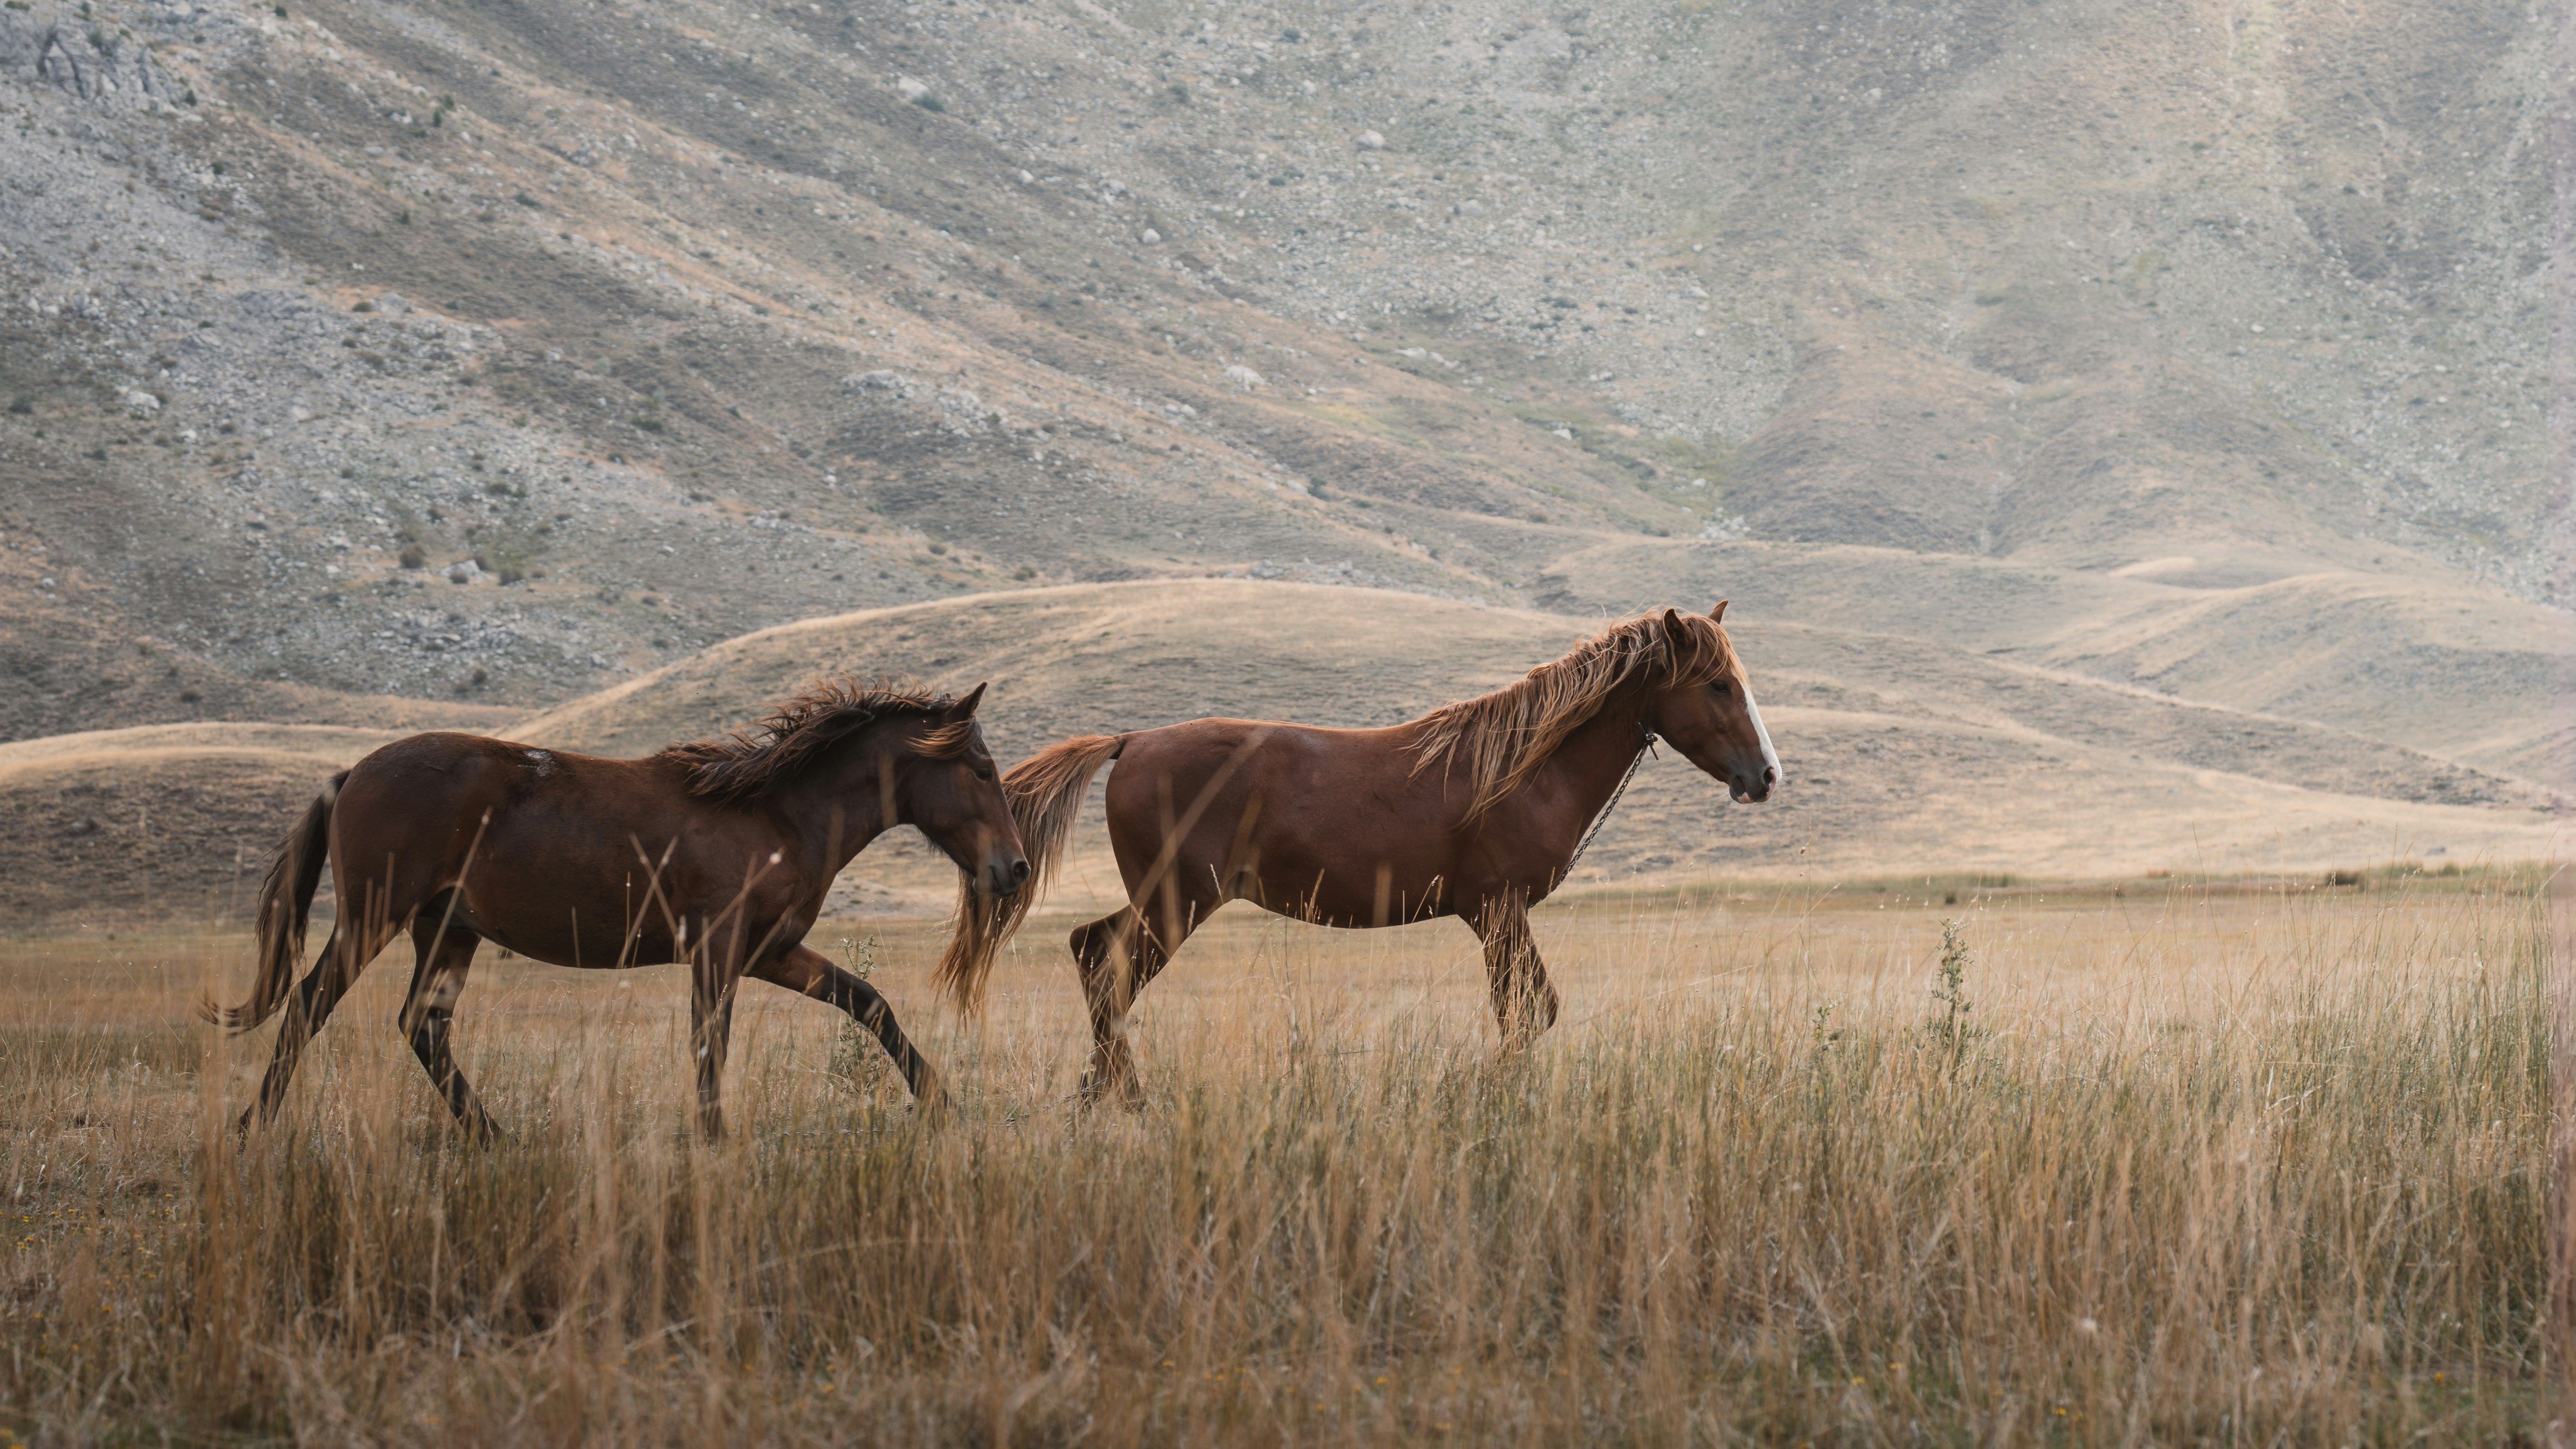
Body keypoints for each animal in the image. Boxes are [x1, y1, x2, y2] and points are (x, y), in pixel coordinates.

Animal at [204, 679, 1030, 1139]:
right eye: (981, 768)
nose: (1015, 868)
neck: (775, 816)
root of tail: (351, 773)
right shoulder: (718, 949)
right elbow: (709, 1043)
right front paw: (714, 1137)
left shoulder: (769, 951)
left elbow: (868, 1003)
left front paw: (943, 1105)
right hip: (373, 918)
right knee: (310, 1006)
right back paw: (251, 1128)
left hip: (447, 929)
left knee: (422, 1027)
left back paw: (493, 1135)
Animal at [933, 603, 1780, 1105]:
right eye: (1715, 685)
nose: (1765, 775)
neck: (1522, 766)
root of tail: (1130, 741)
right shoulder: (1496, 911)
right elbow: (1529, 1012)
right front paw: (1481, 1090)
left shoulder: (1493, 918)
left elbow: (1525, 1011)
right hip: (1177, 900)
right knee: (1101, 963)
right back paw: (1126, 1097)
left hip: (1169, 899)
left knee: (1092, 956)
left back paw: (1102, 1089)